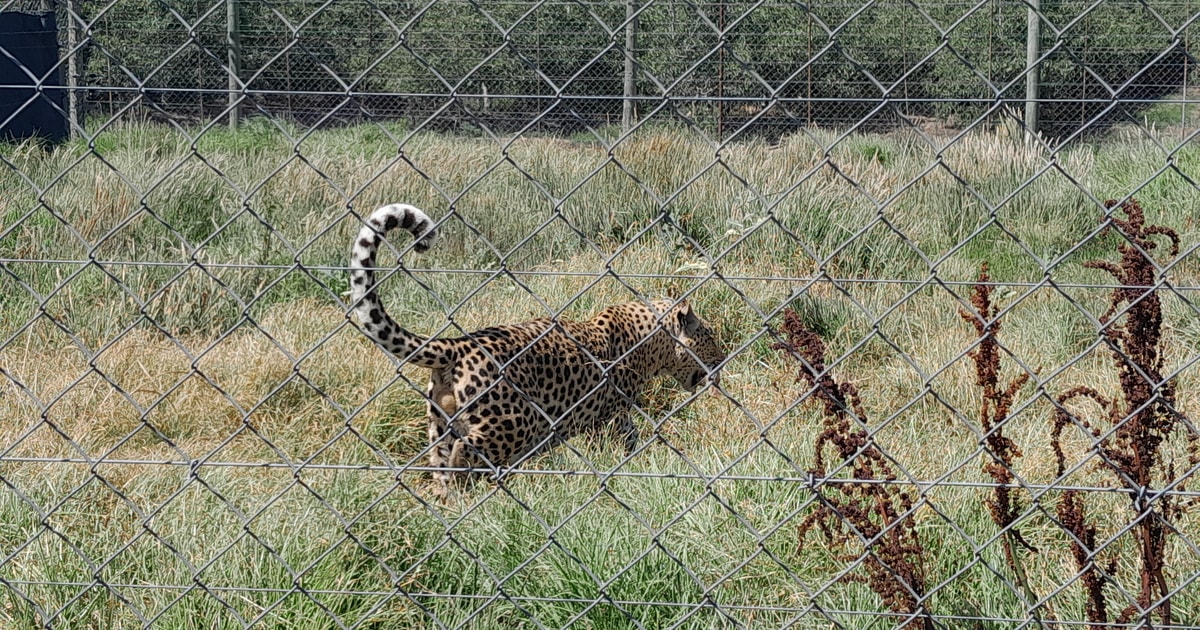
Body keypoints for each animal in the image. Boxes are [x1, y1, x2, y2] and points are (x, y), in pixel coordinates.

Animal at [349, 203, 726, 496]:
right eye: (709, 336)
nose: (722, 361)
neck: (651, 339)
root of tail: (458, 345)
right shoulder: (611, 413)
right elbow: (620, 441)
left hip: (440, 421)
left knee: (442, 463)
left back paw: (449, 502)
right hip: (513, 423)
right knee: (467, 451)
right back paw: (473, 489)